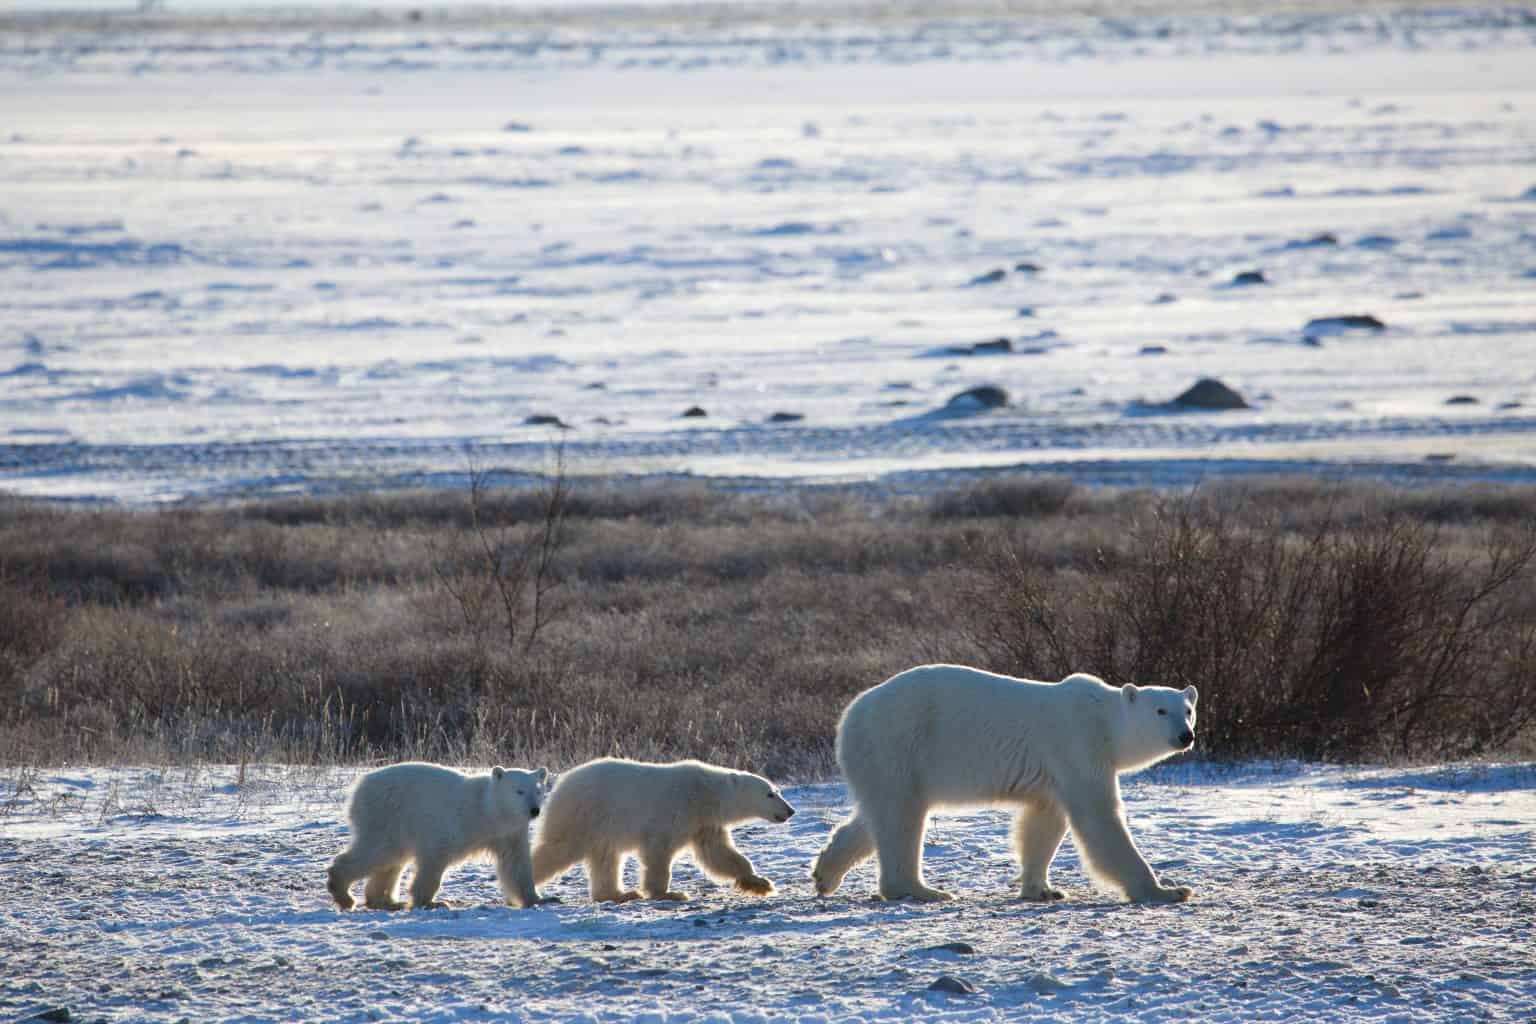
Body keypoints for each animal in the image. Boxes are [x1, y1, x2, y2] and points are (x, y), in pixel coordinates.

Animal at [327, 761, 547, 911]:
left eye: (538, 790)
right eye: (519, 791)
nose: (534, 810)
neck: (488, 811)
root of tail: (359, 787)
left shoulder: (508, 833)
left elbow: (516, 864)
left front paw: (539, 899)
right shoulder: (453, 824)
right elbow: (435, 858)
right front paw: (431, 902)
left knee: (392, 859)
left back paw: (387, 901)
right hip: (387, 814)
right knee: (377, 851)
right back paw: (344, 894)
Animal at [531, 758, 795, 903]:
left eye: (777, 790)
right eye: (770, 793)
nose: (790, 810)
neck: (708, 792)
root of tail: (560, 784)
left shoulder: (704, 822)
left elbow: (718, 853)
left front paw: (759, 882)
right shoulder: (677, 809)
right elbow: (659, 850)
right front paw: (668, 893)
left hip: (599, 827)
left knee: (606, 858)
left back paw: (620, 894)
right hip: (585, 814)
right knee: (559, 848)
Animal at [811, 664, 1197, 904]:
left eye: (1188, 710)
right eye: (1161, 710)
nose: (1185, 736)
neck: (1103, 719)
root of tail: (850, 715)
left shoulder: (1053, 773)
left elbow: (1043, 822)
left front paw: (1042, 889)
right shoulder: (1077, 744)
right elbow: (1098, 817)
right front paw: (1167, 891)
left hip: (882, 757)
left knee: (877, 814)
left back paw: (825, 873)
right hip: (898, 743)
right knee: (900, 815)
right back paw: (921, 890)